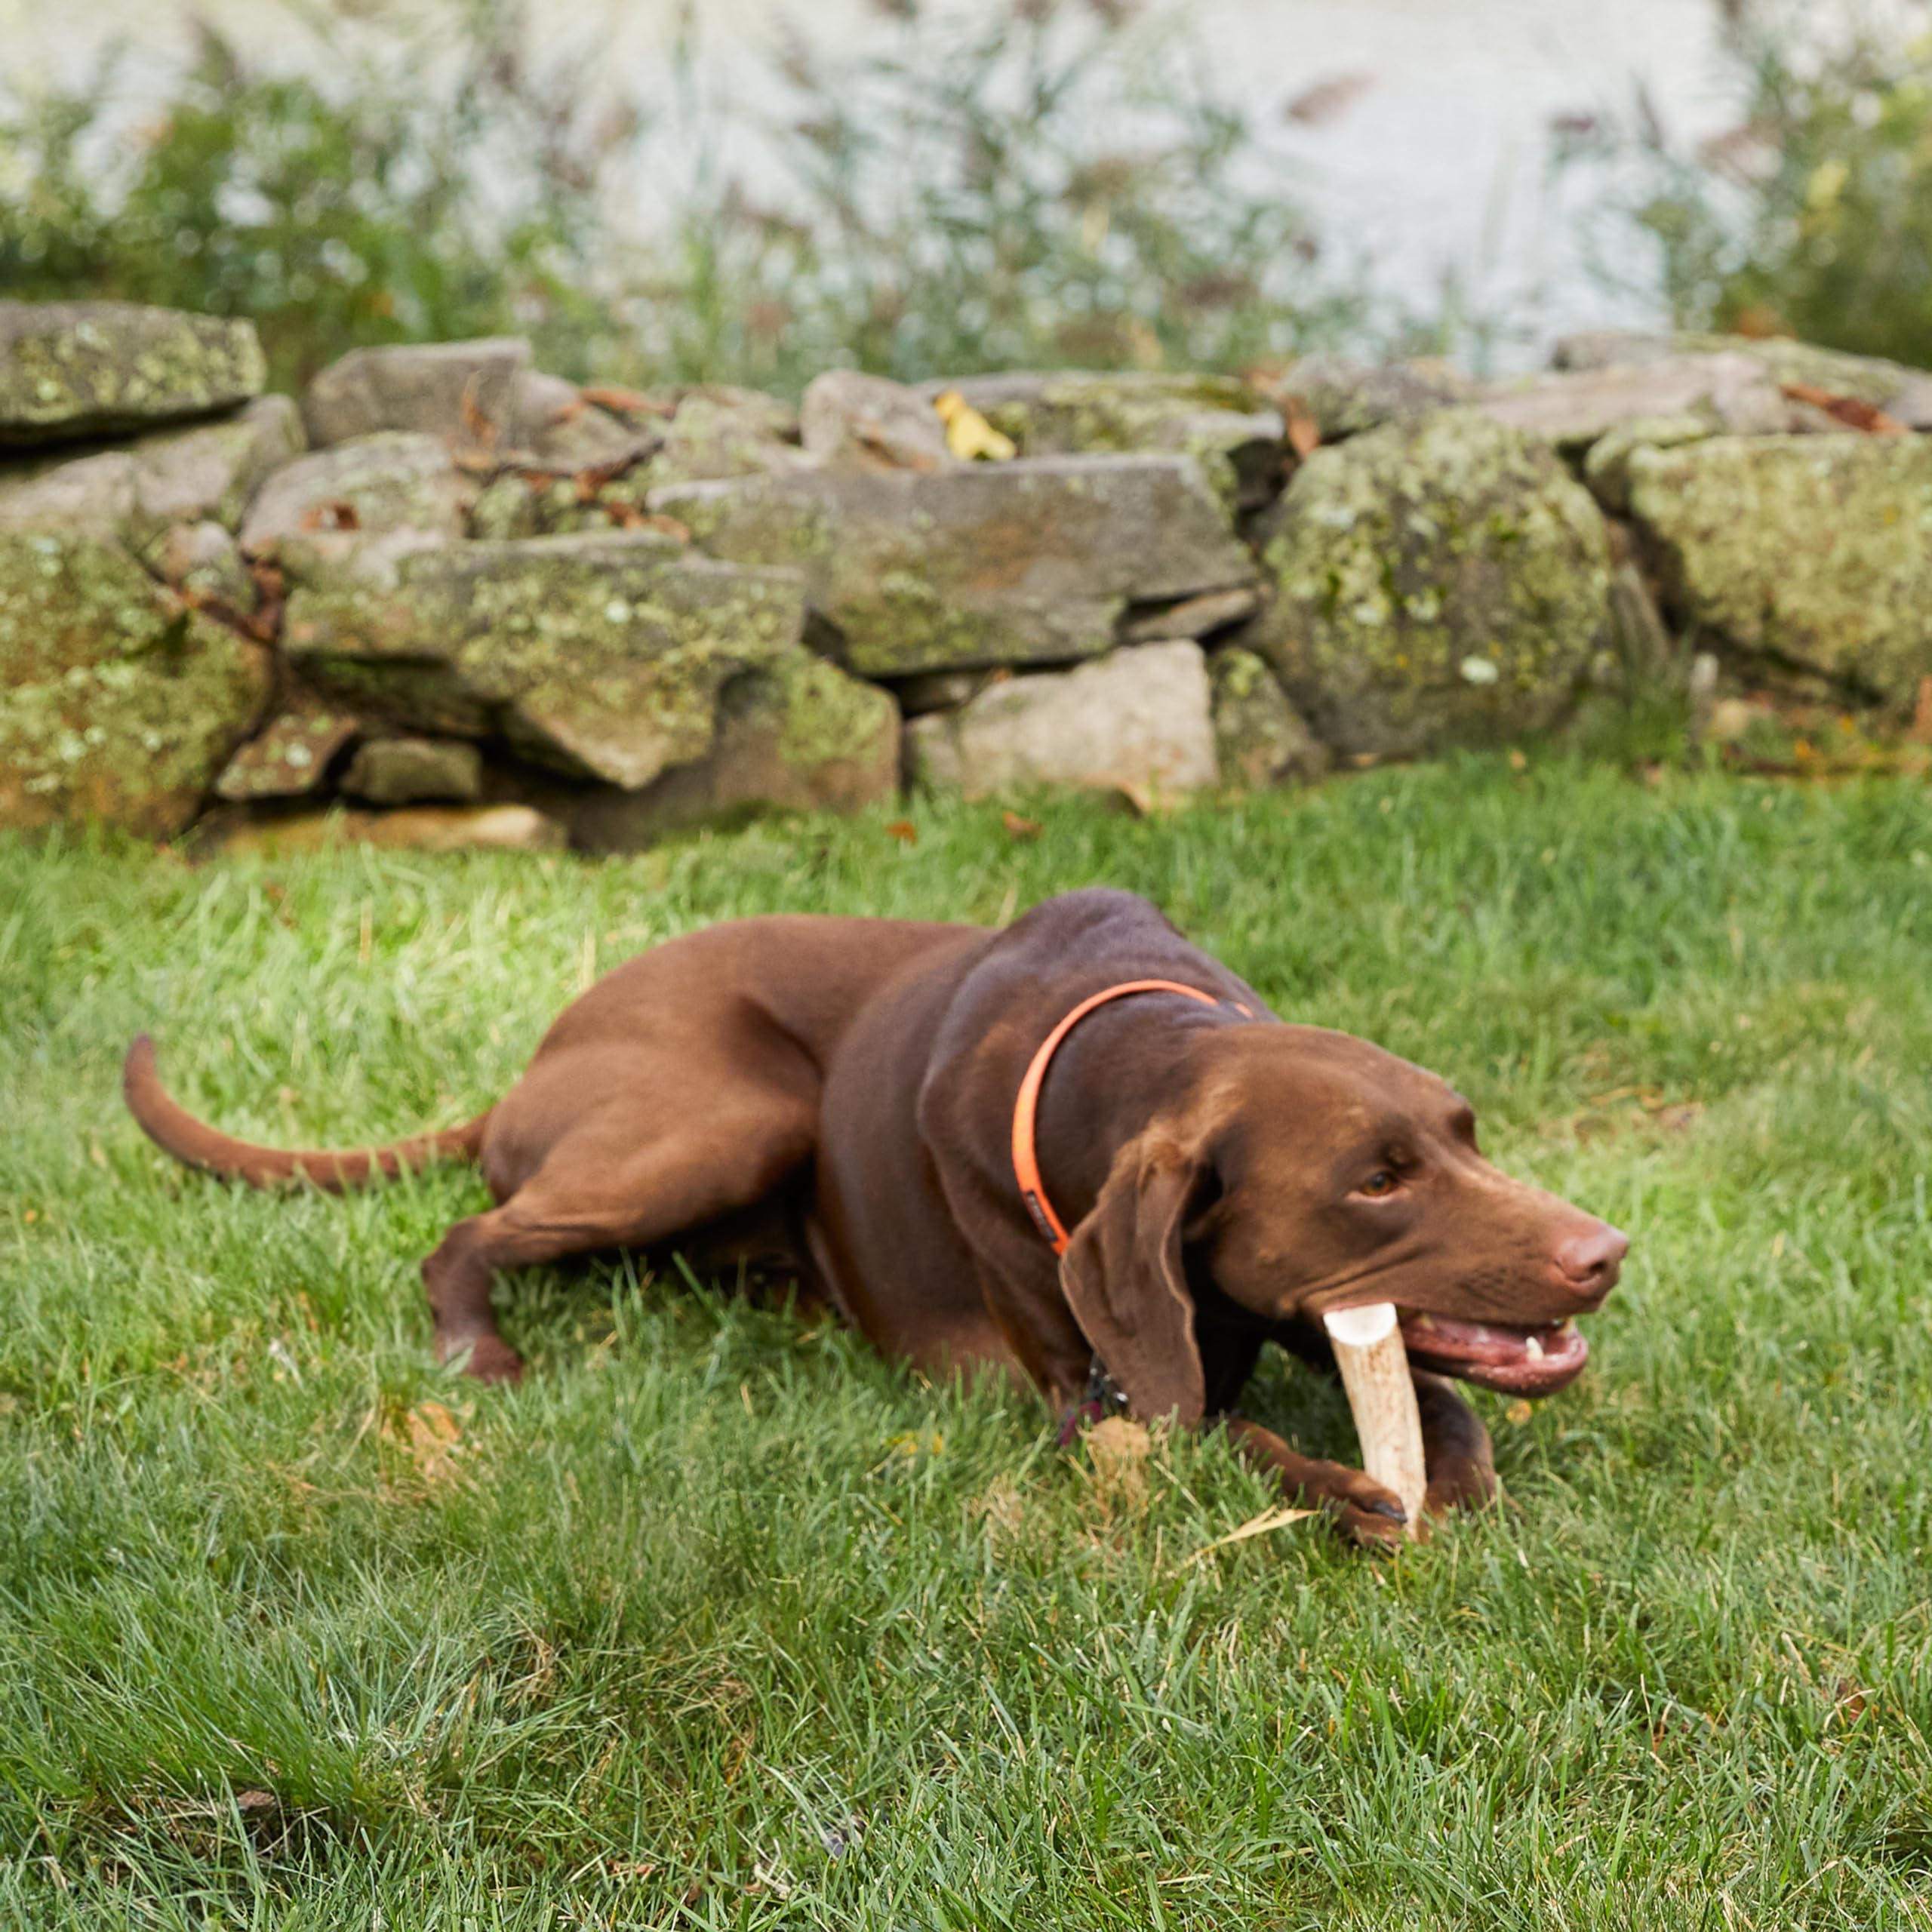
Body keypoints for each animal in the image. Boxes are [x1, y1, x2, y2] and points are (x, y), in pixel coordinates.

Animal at [128, 888, 1623, 1537]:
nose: (1604, 1256)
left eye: (1465, 1132)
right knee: (461, 1234)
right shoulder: (1096, 1397)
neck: (1121, 1036)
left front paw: (1431, 1460)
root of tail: (532, 1063)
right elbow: (1241, 1437)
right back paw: (475, 1345)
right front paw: (1341, 1485)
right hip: (724, 1120)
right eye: (1374, 1180)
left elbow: (1448, 1423)